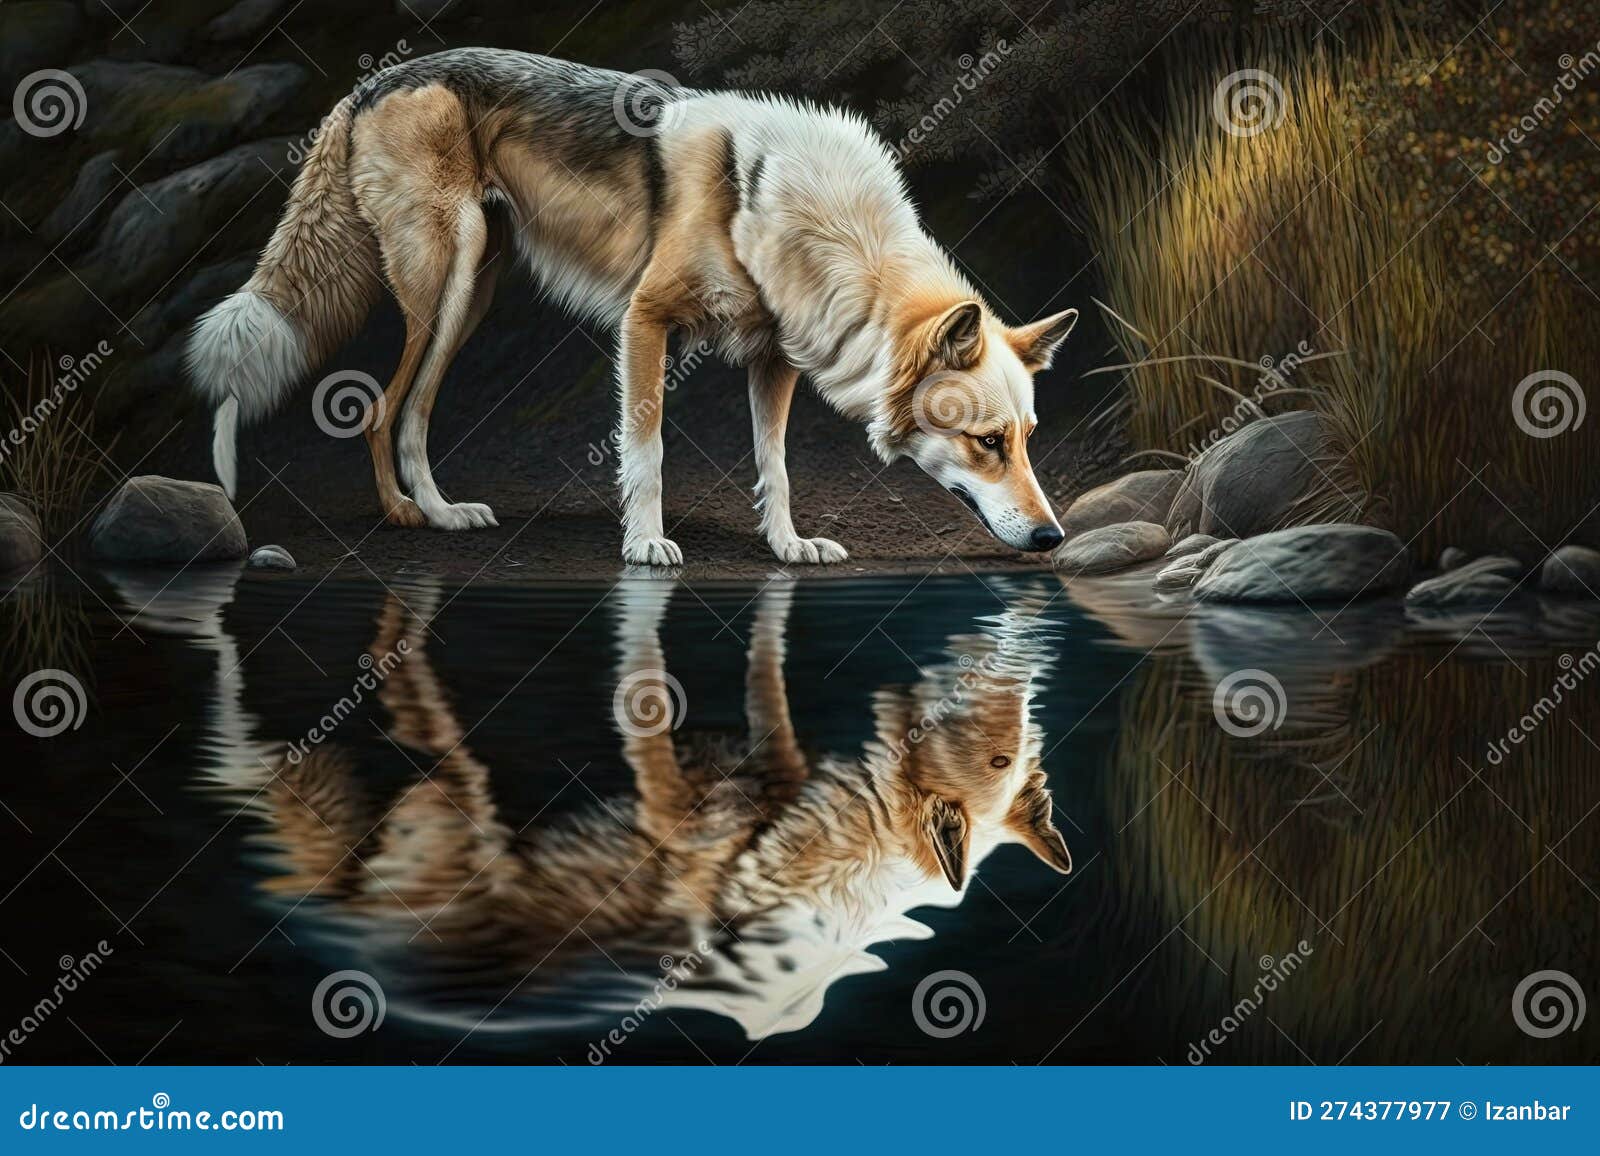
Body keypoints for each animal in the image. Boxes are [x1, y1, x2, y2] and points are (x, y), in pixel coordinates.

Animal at [186, 49, 1079, 564]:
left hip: (472, 295)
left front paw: (788, 546)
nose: (1052, 539)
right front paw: (647, 544)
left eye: (1030, 440)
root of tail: (378, 78)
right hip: (445, 281)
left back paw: (438, 510)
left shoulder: (772, 360)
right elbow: (646, 453)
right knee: (380, 409)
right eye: (988, 442)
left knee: (408, 412)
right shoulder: (645, 324)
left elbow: (777, 467)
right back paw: (415, 519)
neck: (804, 218)